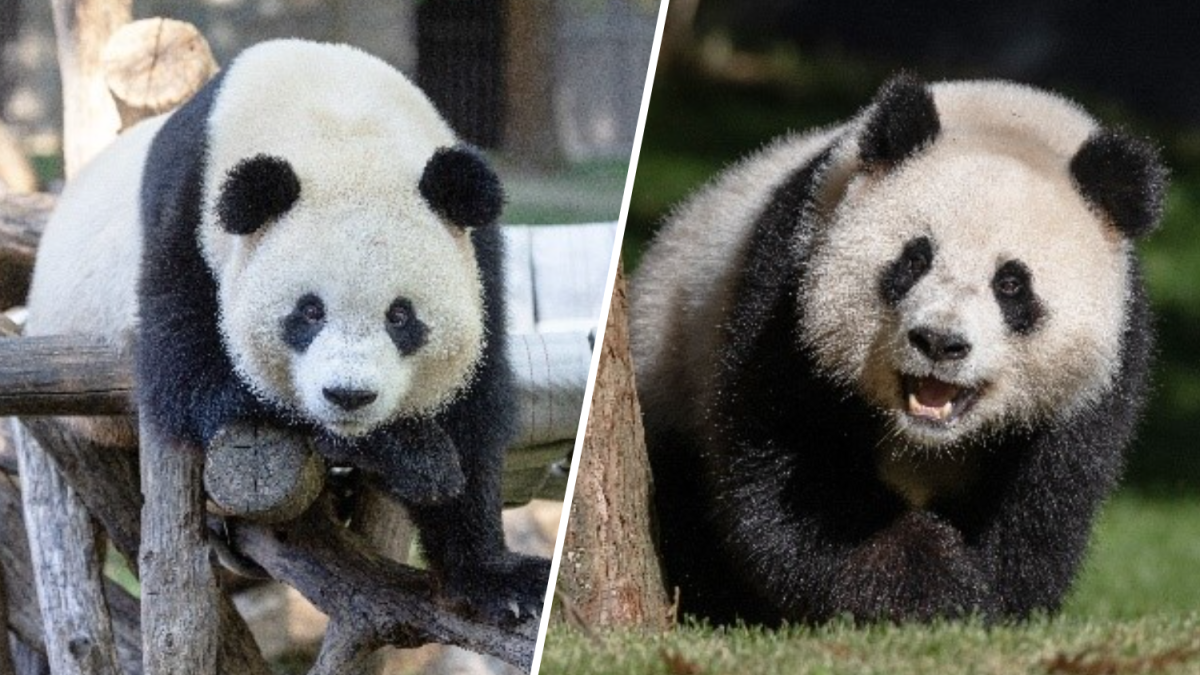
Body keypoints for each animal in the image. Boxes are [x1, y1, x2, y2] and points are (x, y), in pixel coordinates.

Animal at [24, 39, 549, 619]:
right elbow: (193, 377)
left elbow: (474, 409)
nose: (348, 396)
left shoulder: (477, 255)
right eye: (309, 311)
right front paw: (412, 454)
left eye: (401, 316)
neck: (337, 118)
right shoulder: (185, 223)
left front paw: (497, 578)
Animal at [631, 74, 1165, 625]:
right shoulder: (786, 285)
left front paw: (989, 597)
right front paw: (926, 582)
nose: (939, 342)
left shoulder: (1109, 367)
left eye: (1012, 284)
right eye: (914, 260)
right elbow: (796, 475)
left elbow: (1042, 511)